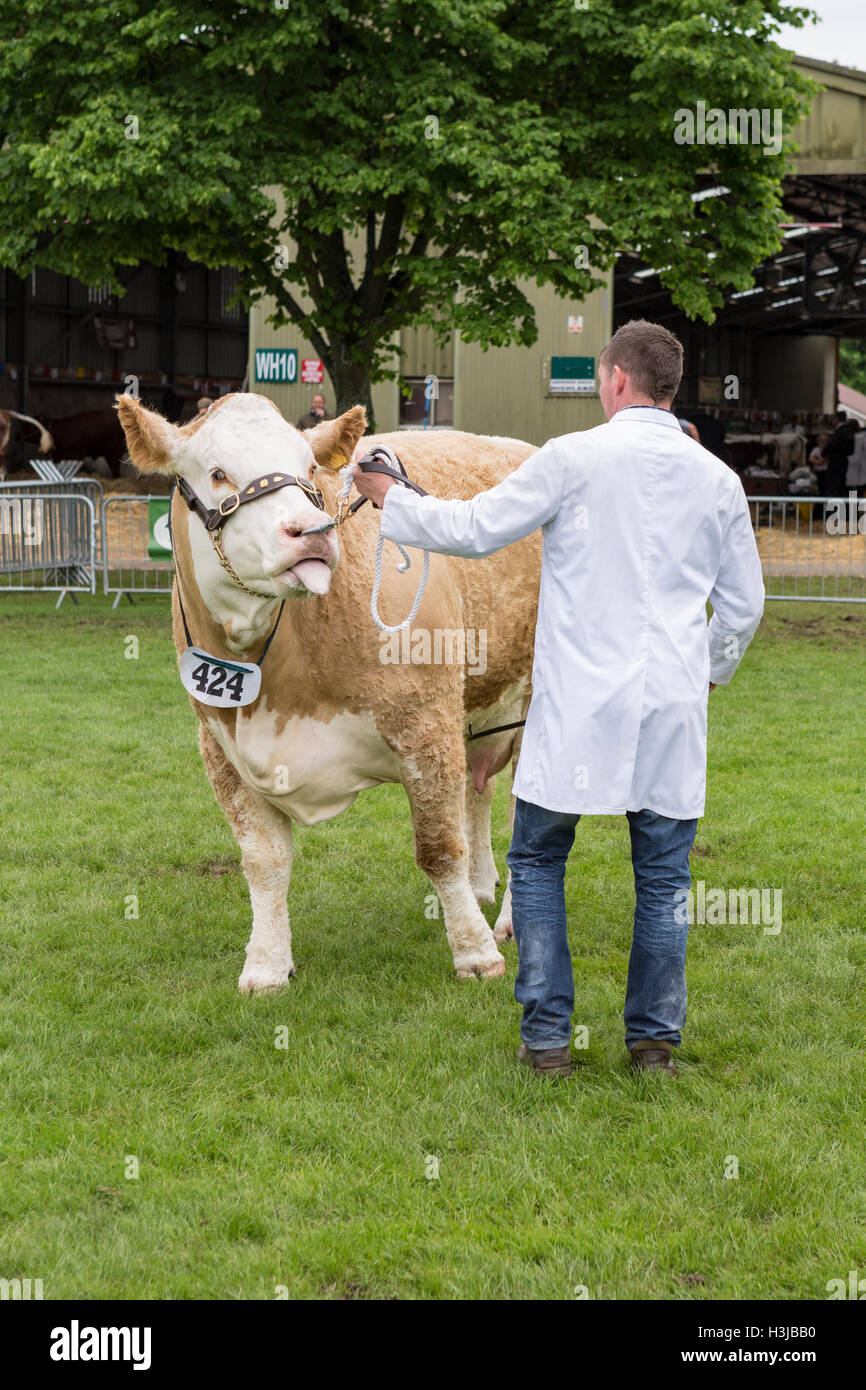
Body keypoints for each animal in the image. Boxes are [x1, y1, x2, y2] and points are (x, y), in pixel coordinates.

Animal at [116, 392, 541, 993]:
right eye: (217, 472)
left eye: (308, 467)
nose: (313, 531)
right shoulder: (220, 744)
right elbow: (264, 859)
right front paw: (267, 964)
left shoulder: (425, 723)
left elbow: (438, 847)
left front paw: (475, 956)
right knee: (478, 791)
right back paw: (483, 887)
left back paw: (506, 922)